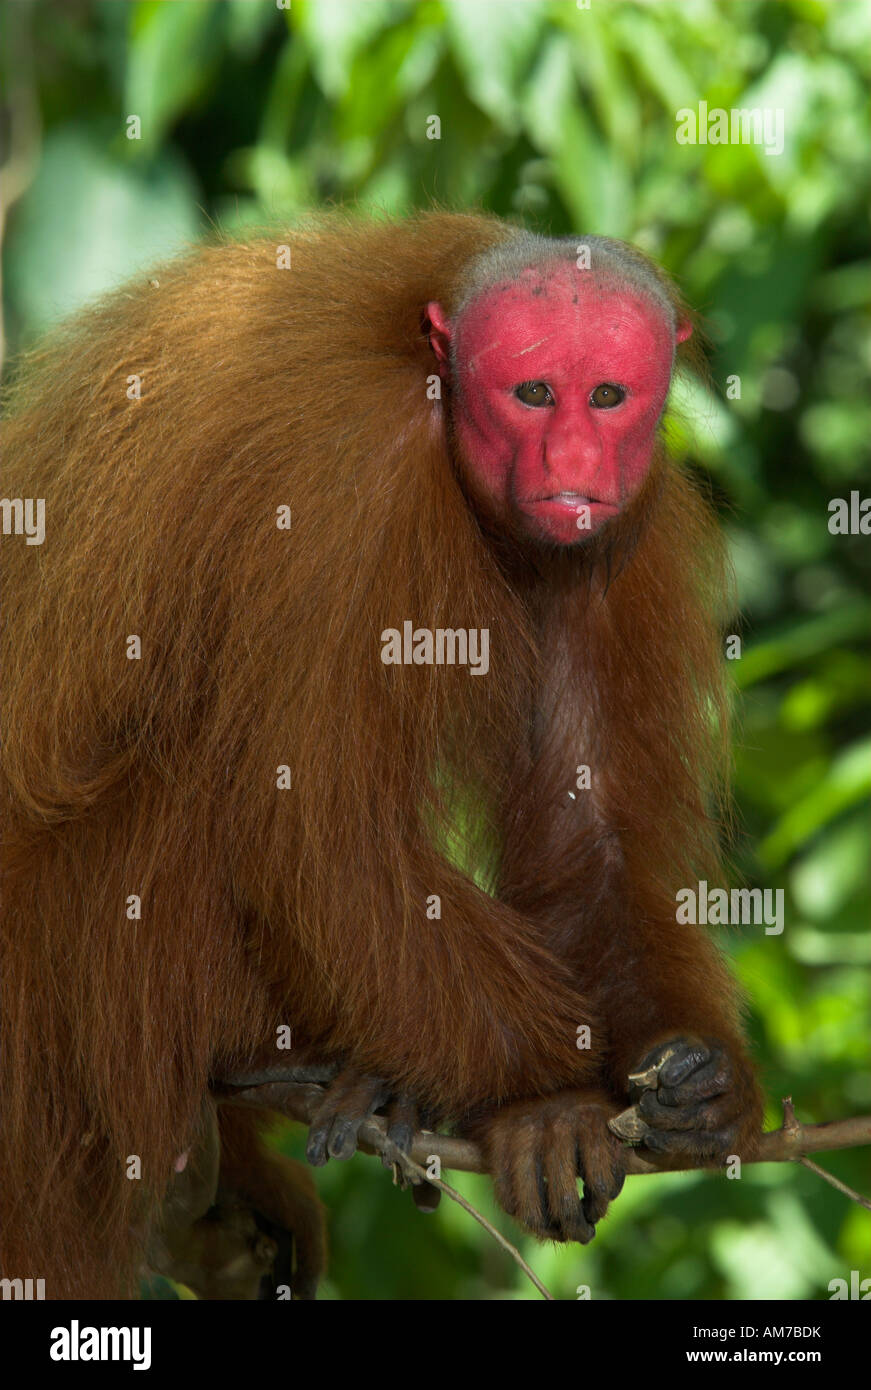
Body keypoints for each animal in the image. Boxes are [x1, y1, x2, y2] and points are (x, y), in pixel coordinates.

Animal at [0, 211, 763, 1298]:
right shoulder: (345, 484)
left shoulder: (619, 531)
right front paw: (543, 1098)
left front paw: (697, 1079)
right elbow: (317, 831)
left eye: (607, 396)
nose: (573, 459)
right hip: (62, 975)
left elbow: (592, 835)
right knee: (210, 788)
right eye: (533, 394)